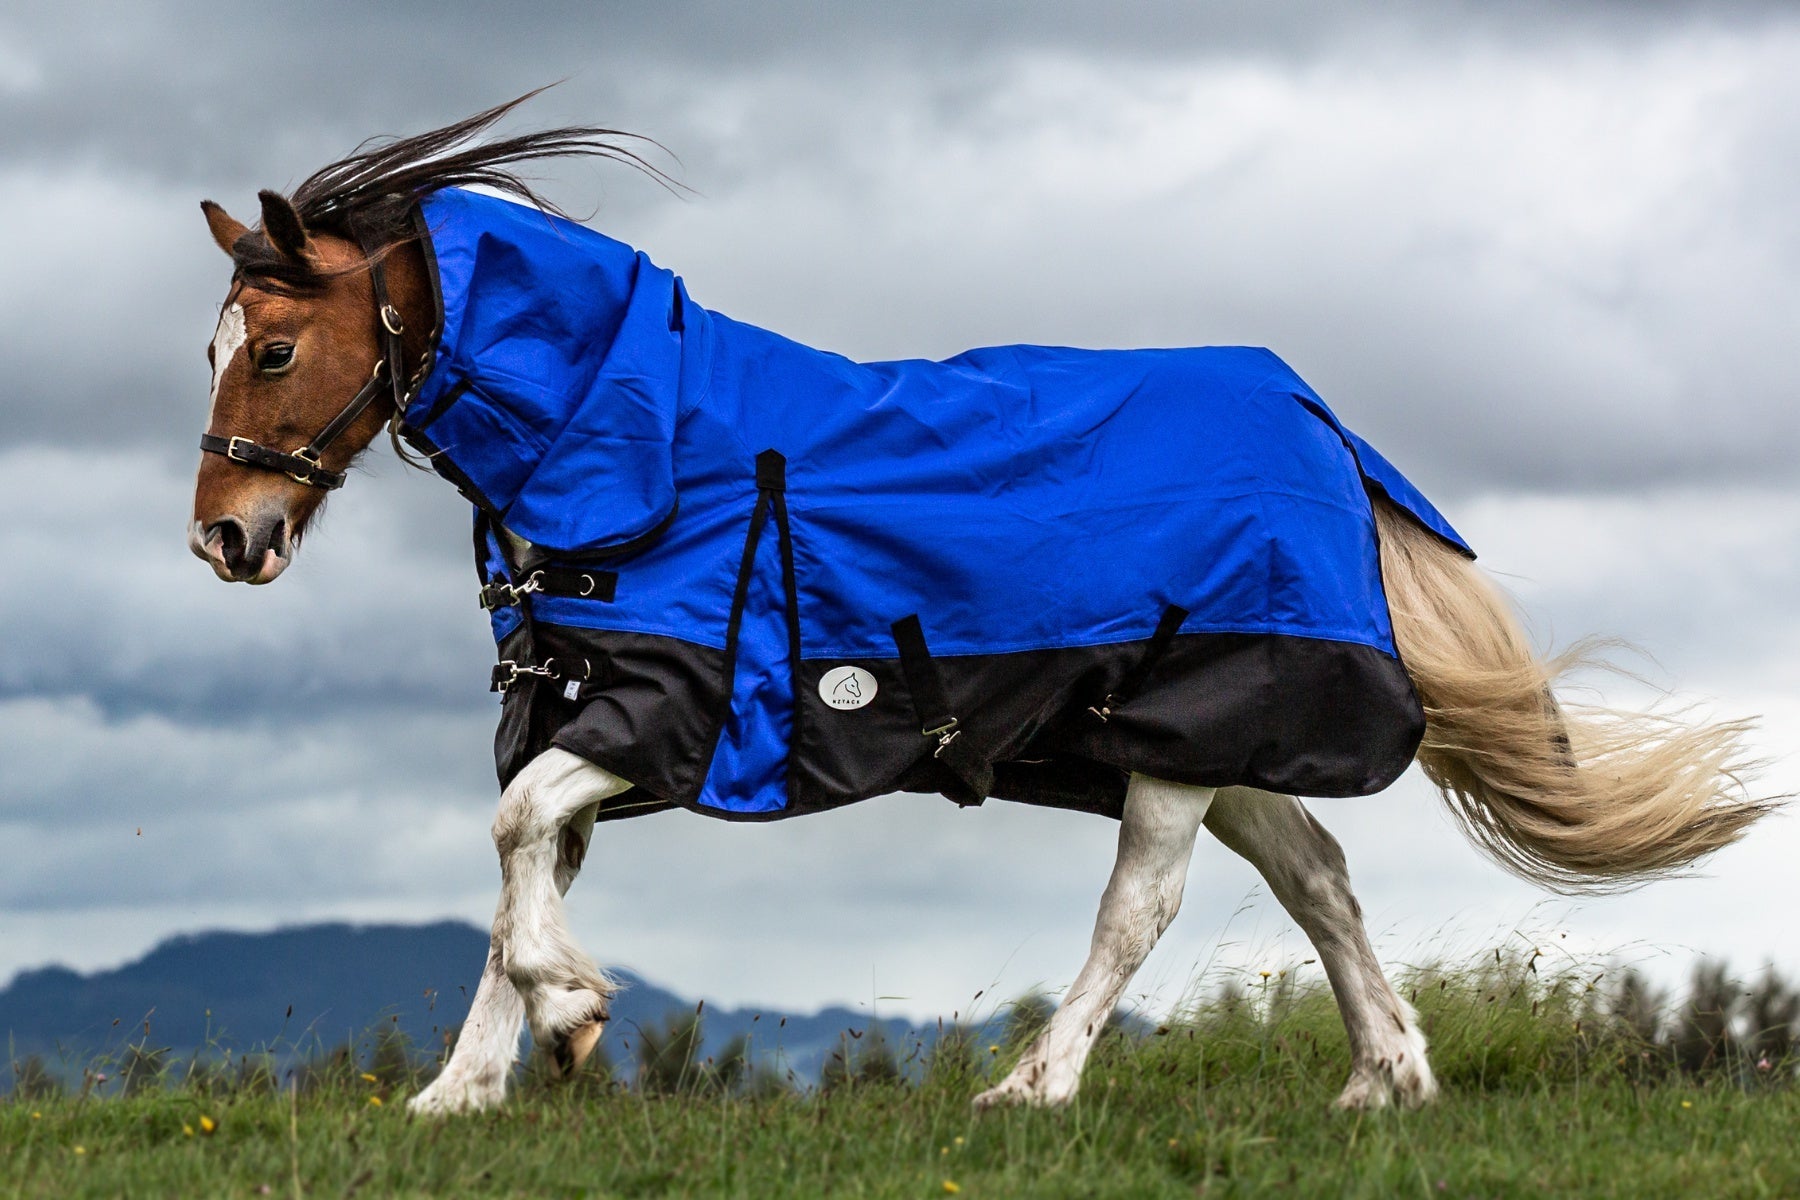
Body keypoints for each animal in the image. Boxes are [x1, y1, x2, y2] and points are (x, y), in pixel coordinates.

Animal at [189, 95, 1772, 1116]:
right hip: (1211, 746)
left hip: (1177, 737)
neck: (639, 443)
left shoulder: (663, 710)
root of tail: (1326, 431)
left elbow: (516, 846)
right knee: (1319, 877)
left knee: (1143, 907)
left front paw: (570, 1020)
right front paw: (463, 1091)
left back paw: (1036, 1085)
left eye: (271, 350)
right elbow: (515, 879)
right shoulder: (573, 706)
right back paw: (1386, 1080)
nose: (226, 537)